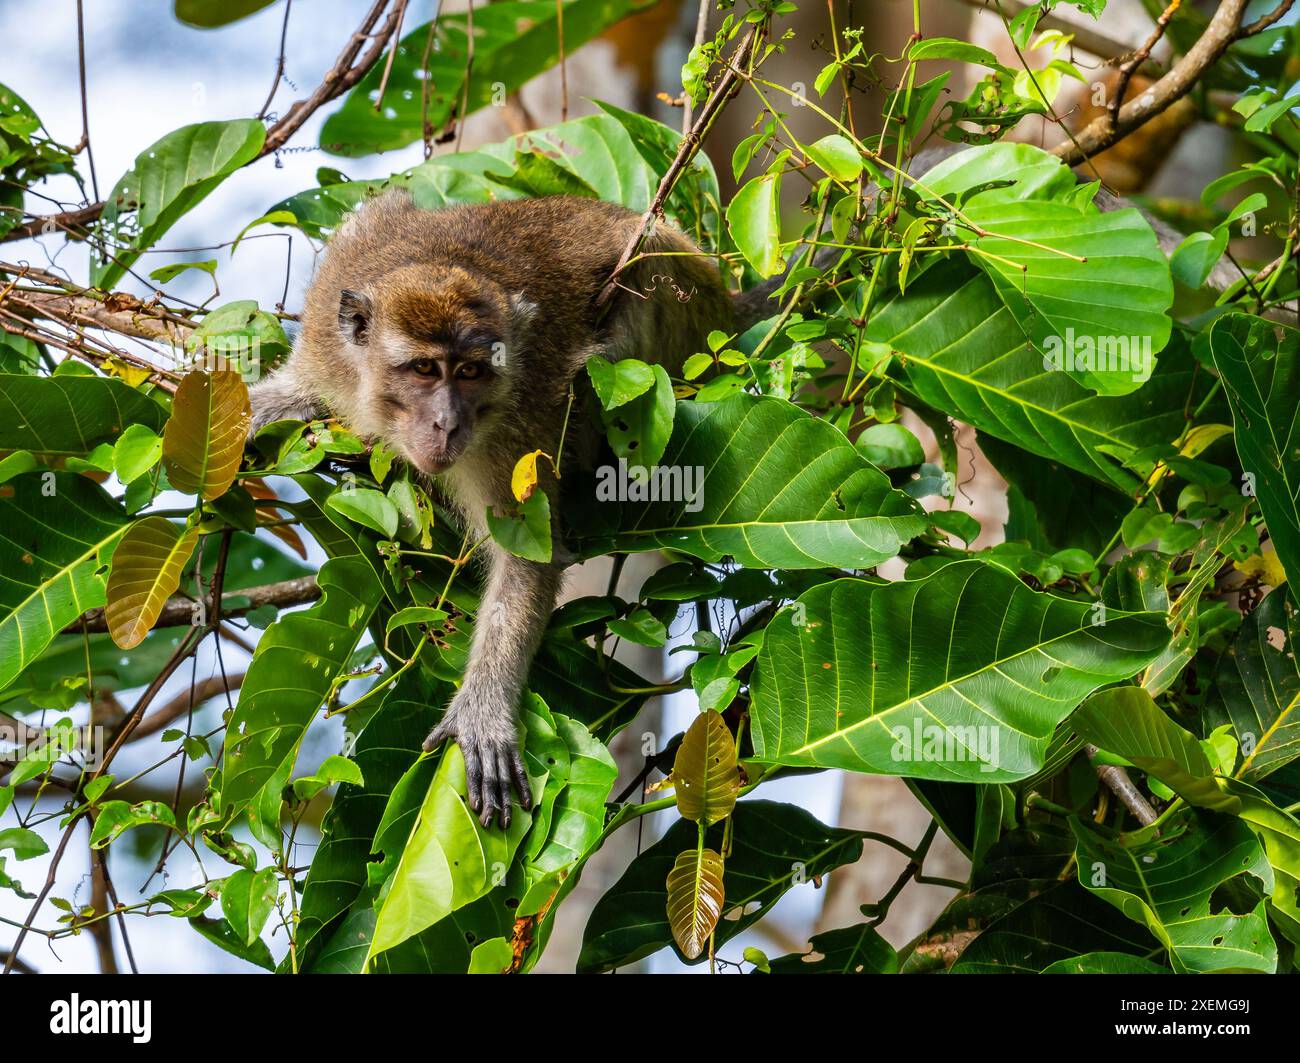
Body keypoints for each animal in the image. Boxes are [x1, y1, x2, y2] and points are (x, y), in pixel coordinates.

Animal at [249, 189, 730, 829]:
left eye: (472, 372)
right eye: (424, 369)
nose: (448, 423)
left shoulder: (513, 430)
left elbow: (526, 555)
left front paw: (484, 706)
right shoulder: (329, 330)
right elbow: (291, 392)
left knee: (642, 264)